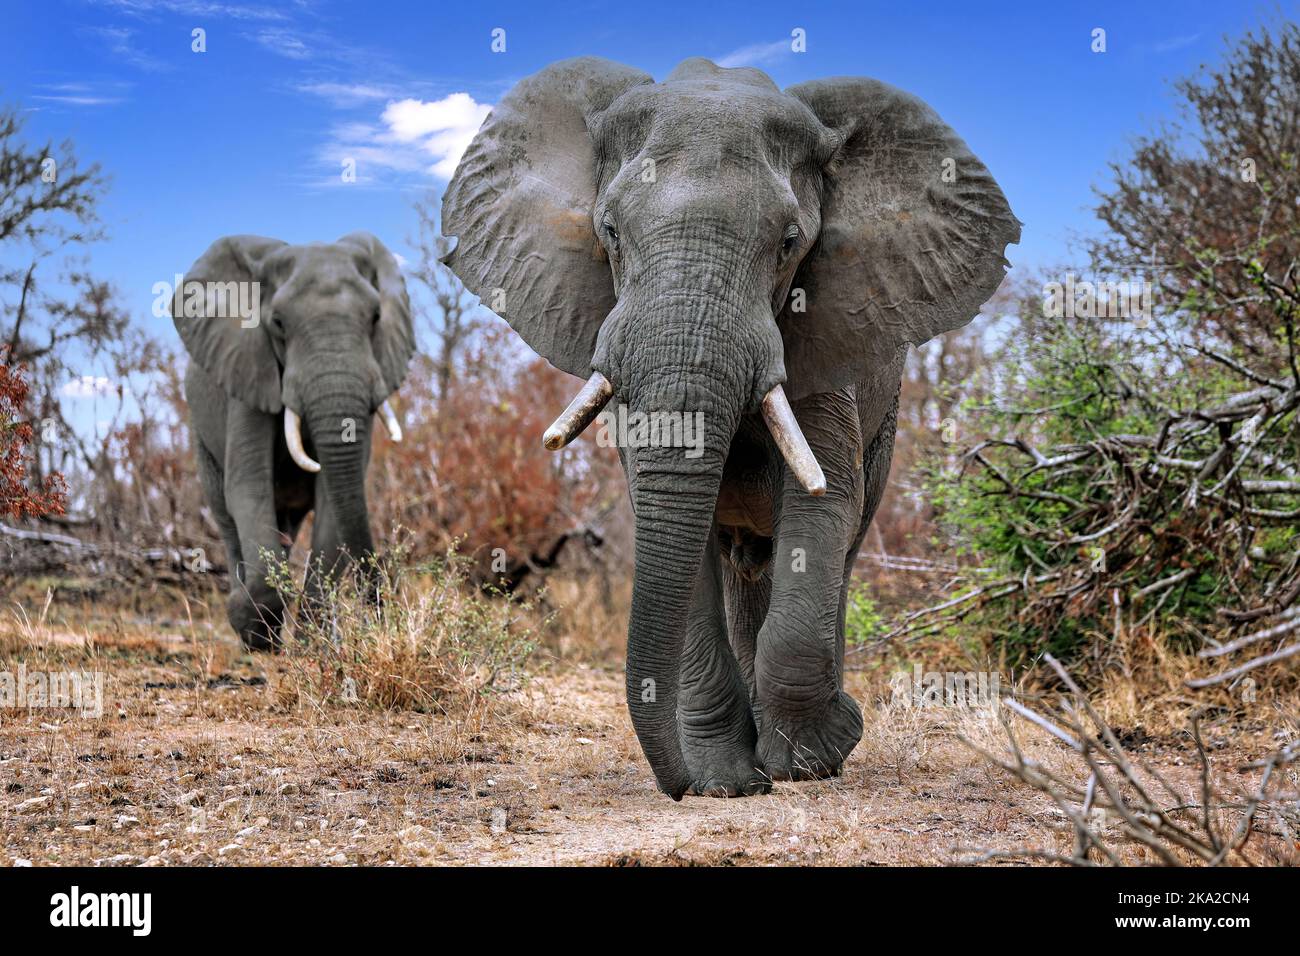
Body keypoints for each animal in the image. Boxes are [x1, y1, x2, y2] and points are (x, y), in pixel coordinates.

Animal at [172, 232, 413, 650]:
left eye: (376, 318)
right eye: (278, 323)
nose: (382, 612)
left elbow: (331, 501)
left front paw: (312, 645)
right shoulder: (249, 370)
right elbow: (248, 488)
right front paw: (253, 629)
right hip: (201, 436)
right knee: (227, 516)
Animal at [441, 55, 1019, 796]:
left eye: (790, 243)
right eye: (609, 233)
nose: (675, 785)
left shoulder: (825, 340)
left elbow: (822, 504)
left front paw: (814, 758)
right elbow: (669, 530)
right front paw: (725, 782)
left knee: (836, 550)